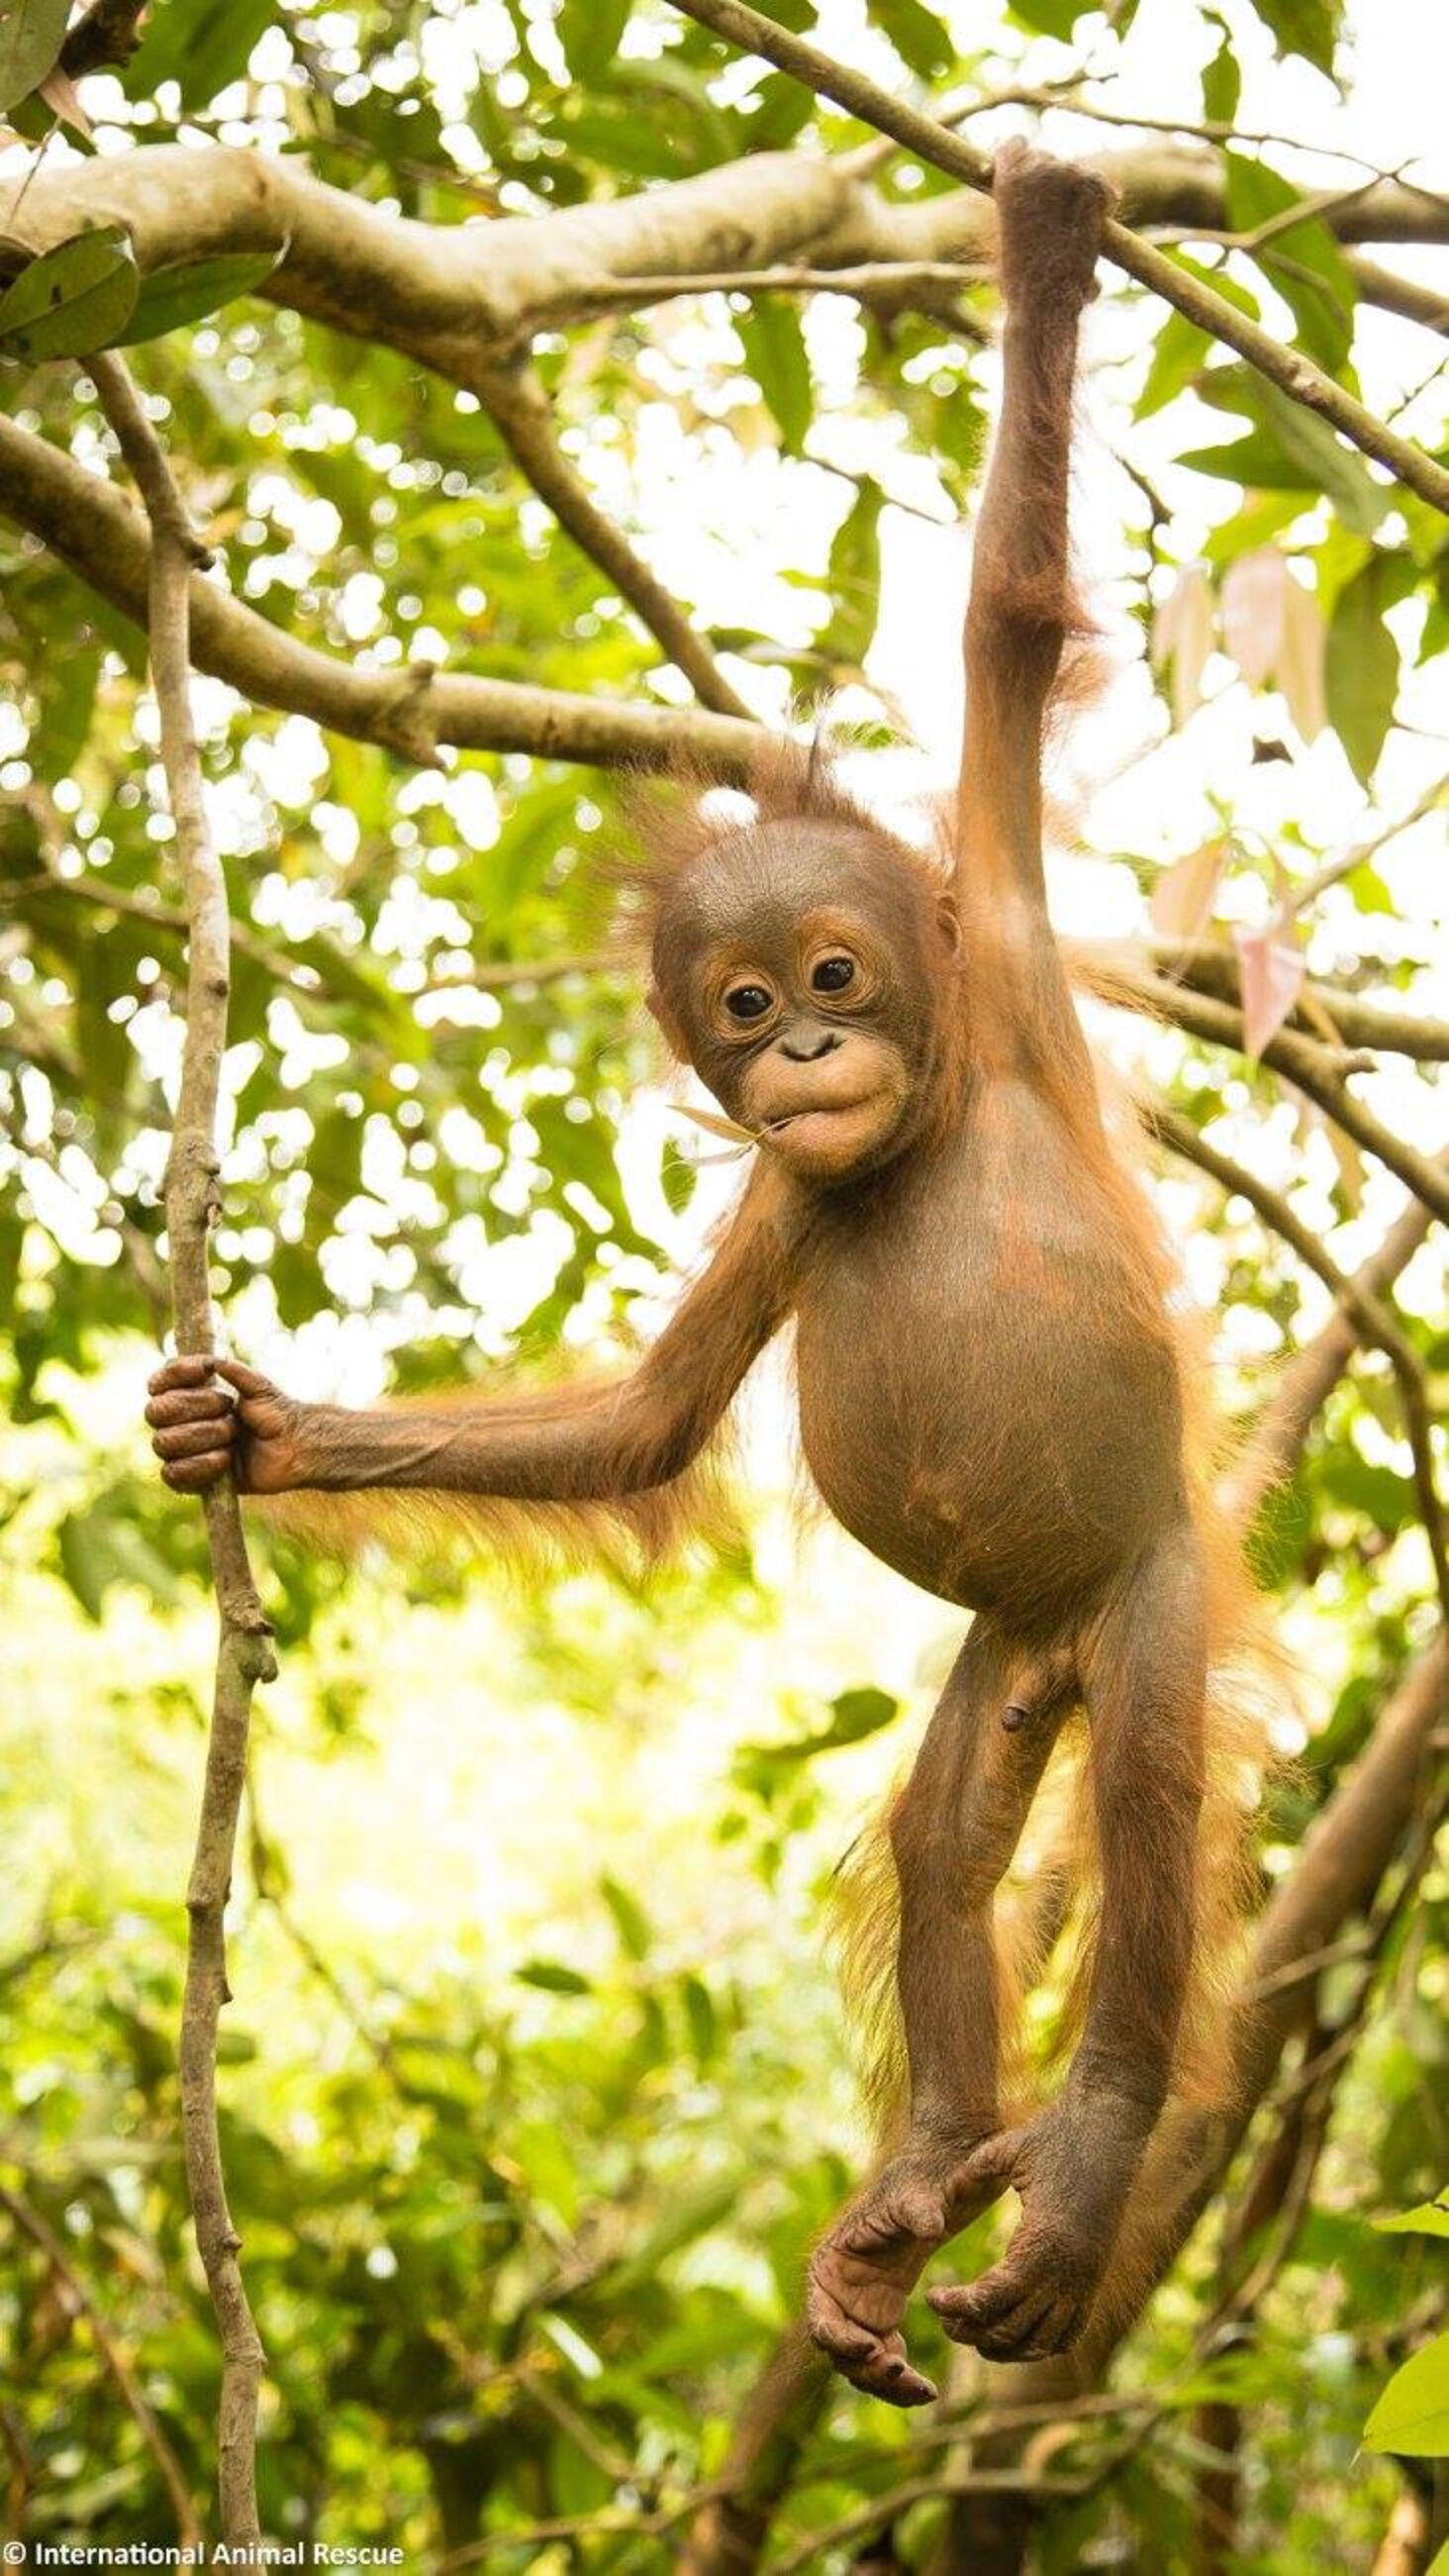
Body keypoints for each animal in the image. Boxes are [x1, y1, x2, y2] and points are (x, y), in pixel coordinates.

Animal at [145, 145, 1271, 2407]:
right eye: (741, 1010)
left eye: (837, 972)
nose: (806, 1060)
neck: (914, 1129)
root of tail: (1068, 1628)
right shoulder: (774, 1205)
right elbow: (646, 1422)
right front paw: (257, 1430)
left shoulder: (995, 936)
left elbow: (1007, 622)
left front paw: (1044, 240)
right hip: (1002, 1650)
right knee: (944, 1842)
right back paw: (920, 2174)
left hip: (1148, 1580)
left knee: (1143, 1806)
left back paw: (1076, 2168)